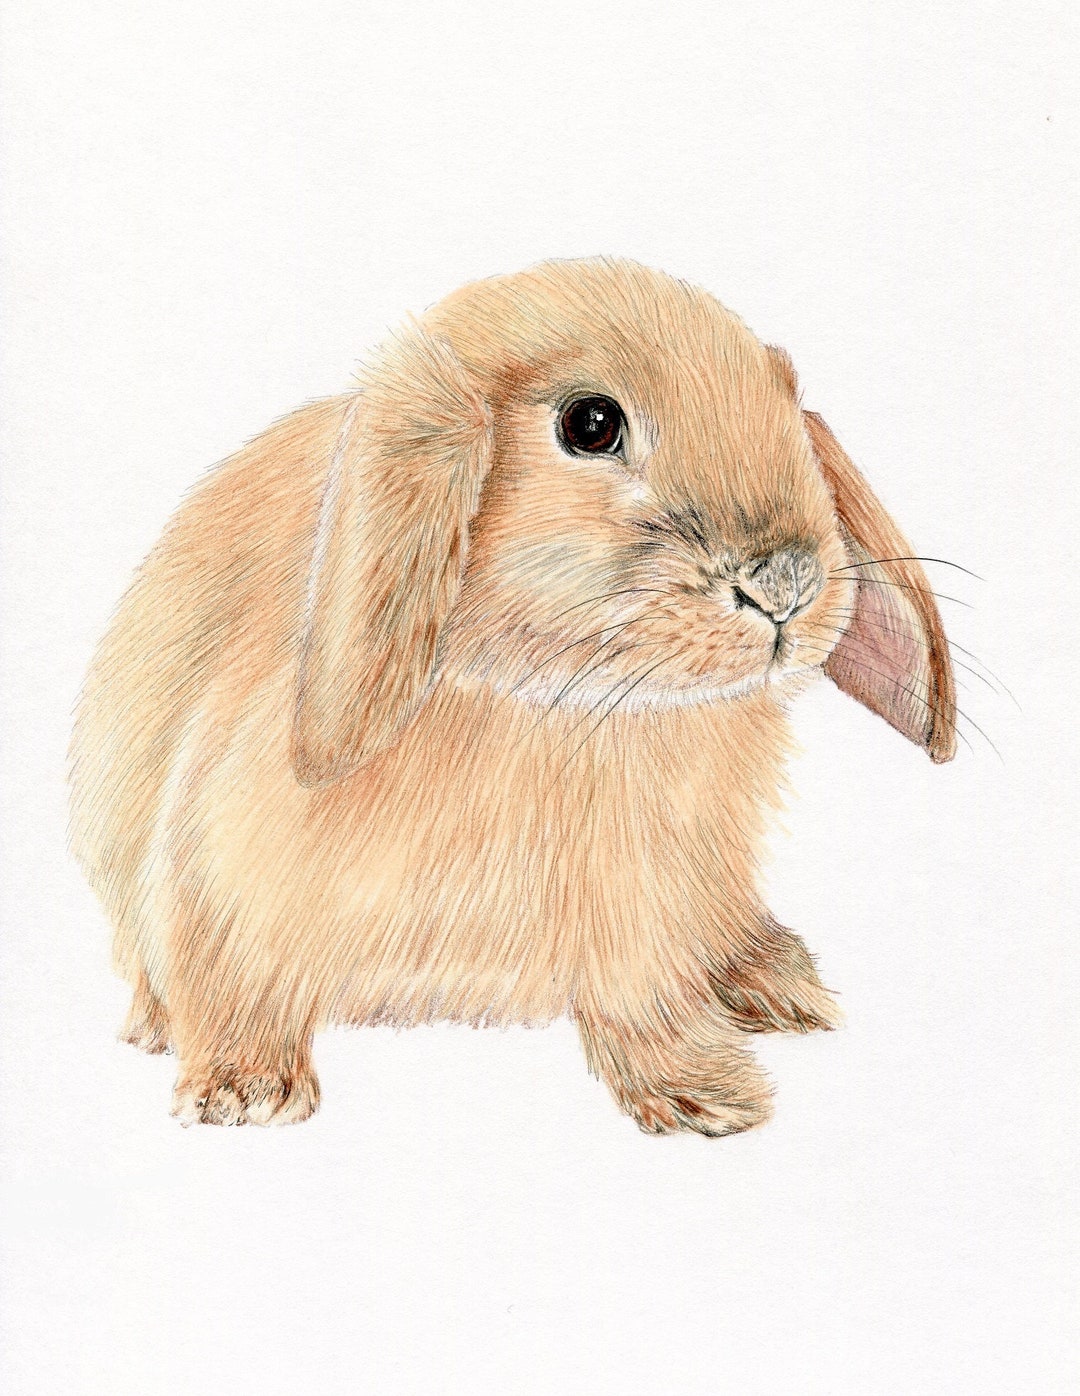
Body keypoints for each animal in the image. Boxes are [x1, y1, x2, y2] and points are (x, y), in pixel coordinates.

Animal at [69, 257, 955, 1133]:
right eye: (591, 424)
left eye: (784, 403)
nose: (785, 583)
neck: (559, 704)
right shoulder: (215, 869)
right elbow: (229, 979)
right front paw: (242, 1092)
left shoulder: (644, 912)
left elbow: (645, 1002)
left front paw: (703, 1095)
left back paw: (777, 980)